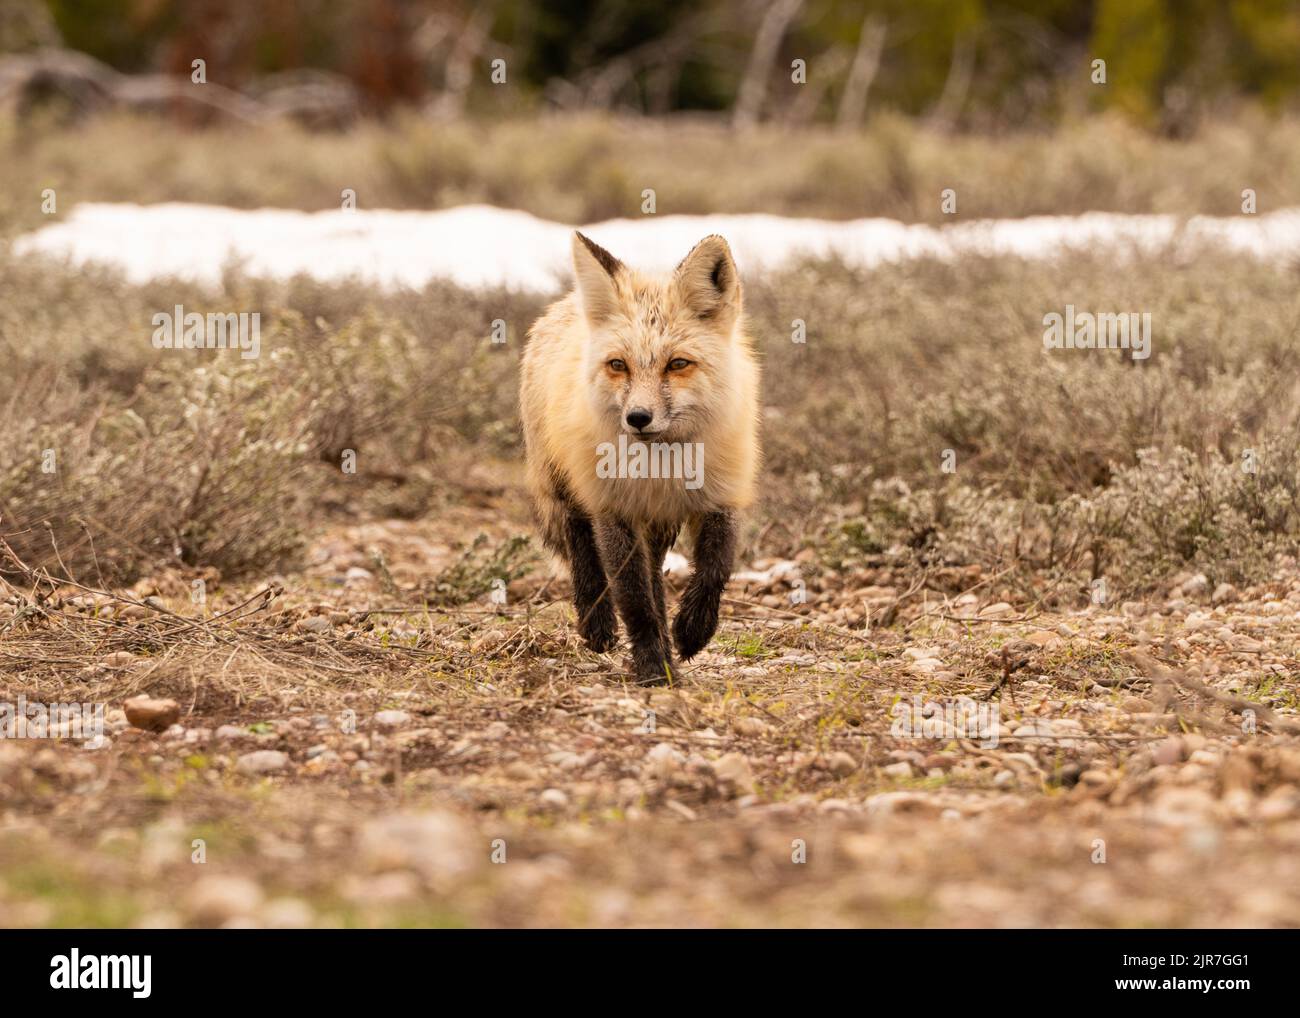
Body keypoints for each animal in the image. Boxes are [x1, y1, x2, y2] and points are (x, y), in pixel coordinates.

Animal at [520, 232, 760, 685]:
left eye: (678, 364)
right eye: (618, 365)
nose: (638, 418)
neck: (660, 465)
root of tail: (566, 303)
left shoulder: (722, 494)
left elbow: (715, 569)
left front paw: (691, 631)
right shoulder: (614, 507)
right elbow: (633, 596)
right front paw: (652, 666)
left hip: (659, 524)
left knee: (655, 574)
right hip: (566, 484)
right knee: (581, 545)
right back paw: (596, 623)